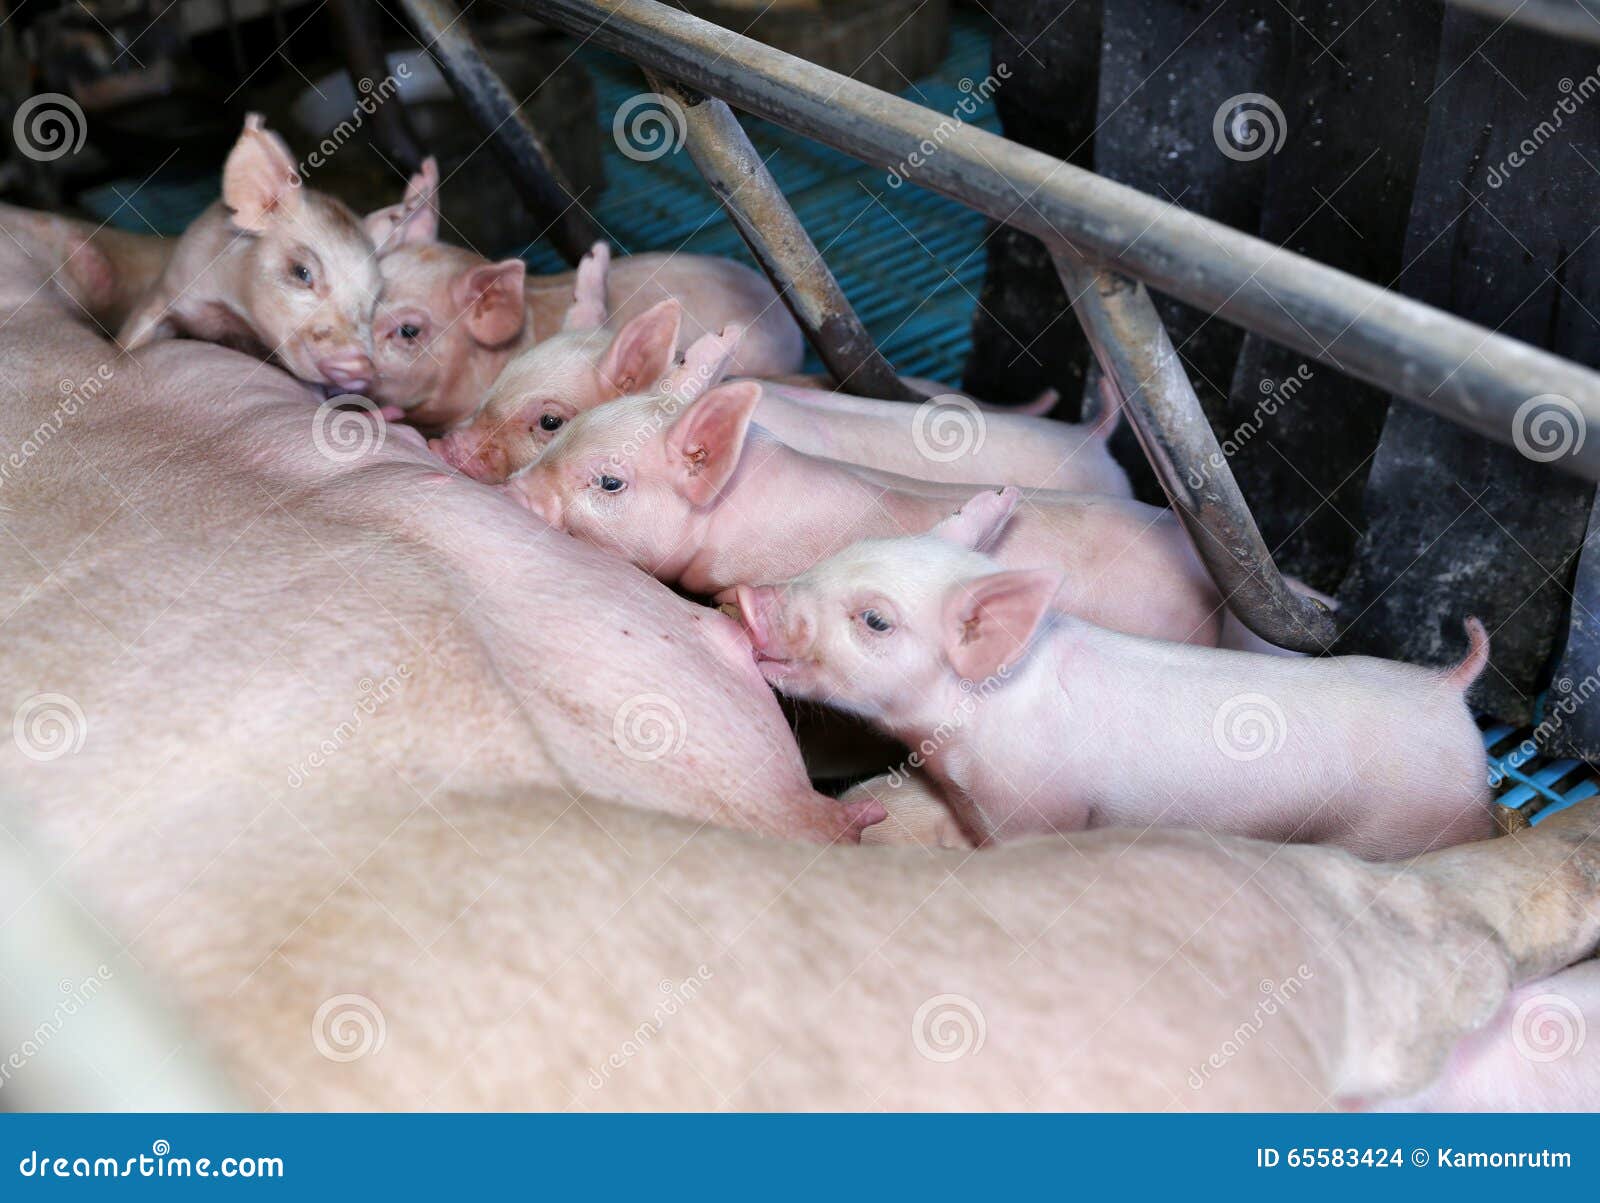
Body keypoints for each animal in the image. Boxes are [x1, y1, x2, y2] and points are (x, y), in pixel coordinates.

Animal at [116, 114, 415, 393]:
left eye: (375, 299)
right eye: (302, 272)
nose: (360, 366)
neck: (230, 319)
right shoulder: (171, 286)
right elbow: (136, 332)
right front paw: (122, 350)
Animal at [732, 486, 1493, 857]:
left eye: (875, 620)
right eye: (838, 554)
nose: (747, 596)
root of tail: (1447, 688)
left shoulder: (1036, 805)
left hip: (1404, 828)